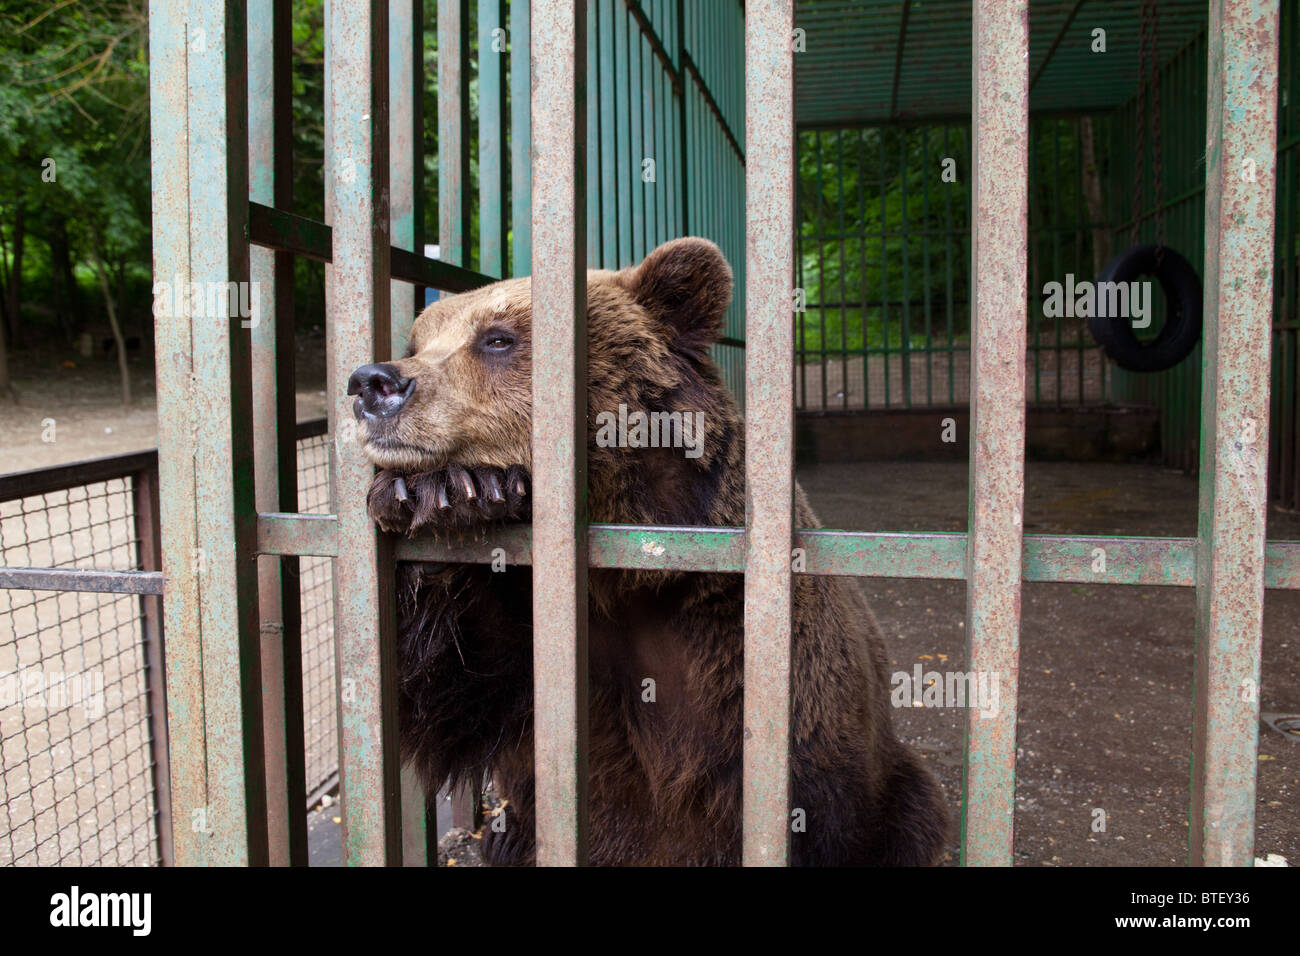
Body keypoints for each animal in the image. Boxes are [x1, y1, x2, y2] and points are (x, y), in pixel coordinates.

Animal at [348, 237, 949, 865]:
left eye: (497, 338)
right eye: (416, 343)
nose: (373, 383)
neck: (627, 576)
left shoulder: (746, 655)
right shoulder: (527, 653)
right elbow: (450, 691)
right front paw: (441, 491)